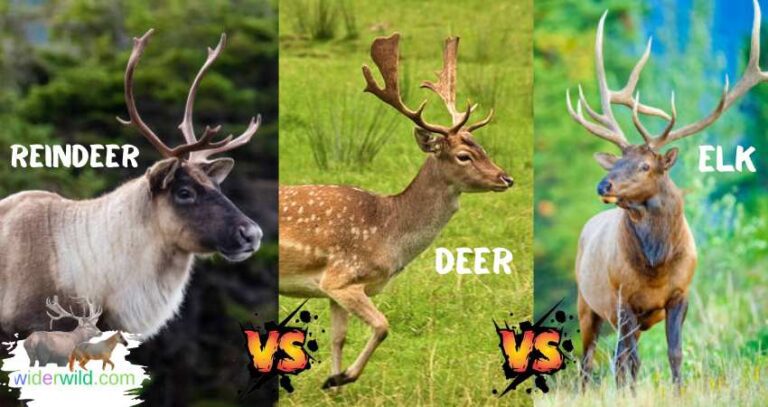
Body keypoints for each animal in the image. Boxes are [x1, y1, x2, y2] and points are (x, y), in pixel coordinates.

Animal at [279, 33, 513, 389]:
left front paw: (332, 382)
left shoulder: (333, 291)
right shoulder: (342, 278)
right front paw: (343, 377)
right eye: (463, 156)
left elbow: (338, 338)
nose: (506, 178)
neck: (388, 234)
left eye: (483, 148)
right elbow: (382, 326)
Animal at [566, 0, 768, 391]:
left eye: (645, 165)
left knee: (622, 358)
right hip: (587, 302)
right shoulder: (622, 299)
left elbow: (674, 353)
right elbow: (629, 360)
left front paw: (678, 390)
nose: (603, 186)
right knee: (590, 361)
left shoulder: (680, 296)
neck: (656, 267)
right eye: (618, 161)